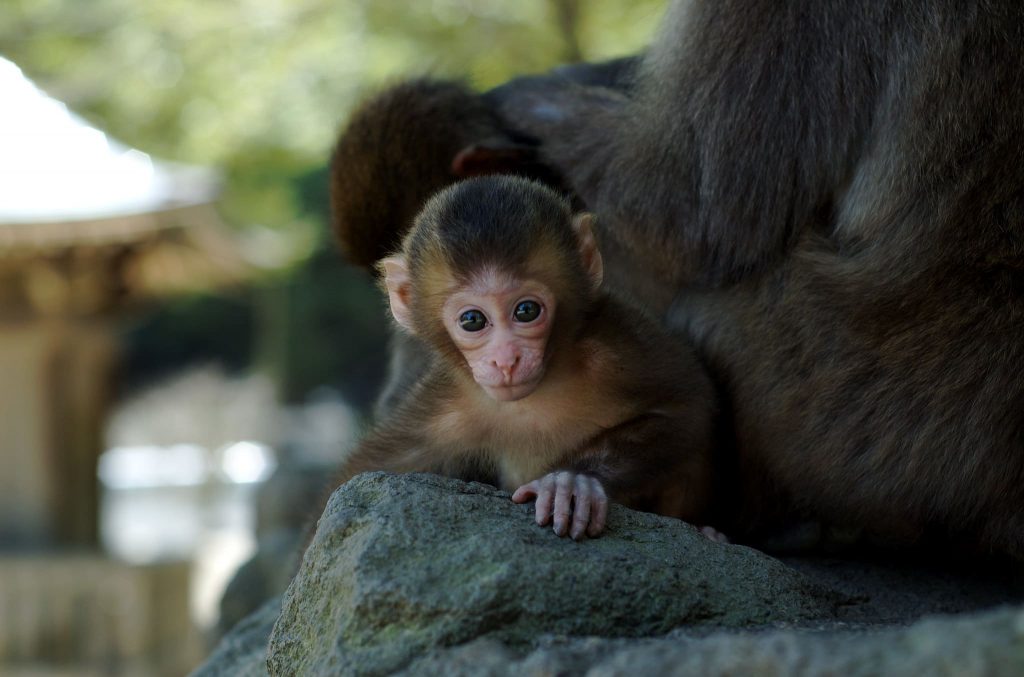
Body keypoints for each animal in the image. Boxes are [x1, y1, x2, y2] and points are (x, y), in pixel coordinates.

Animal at [334, 175, 719, 540]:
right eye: (472, 320)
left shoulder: (616, 342)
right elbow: (366, 472)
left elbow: (689, 407)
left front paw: (572, 482)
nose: (506, 360)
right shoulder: (445, 411)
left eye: (526, 311)